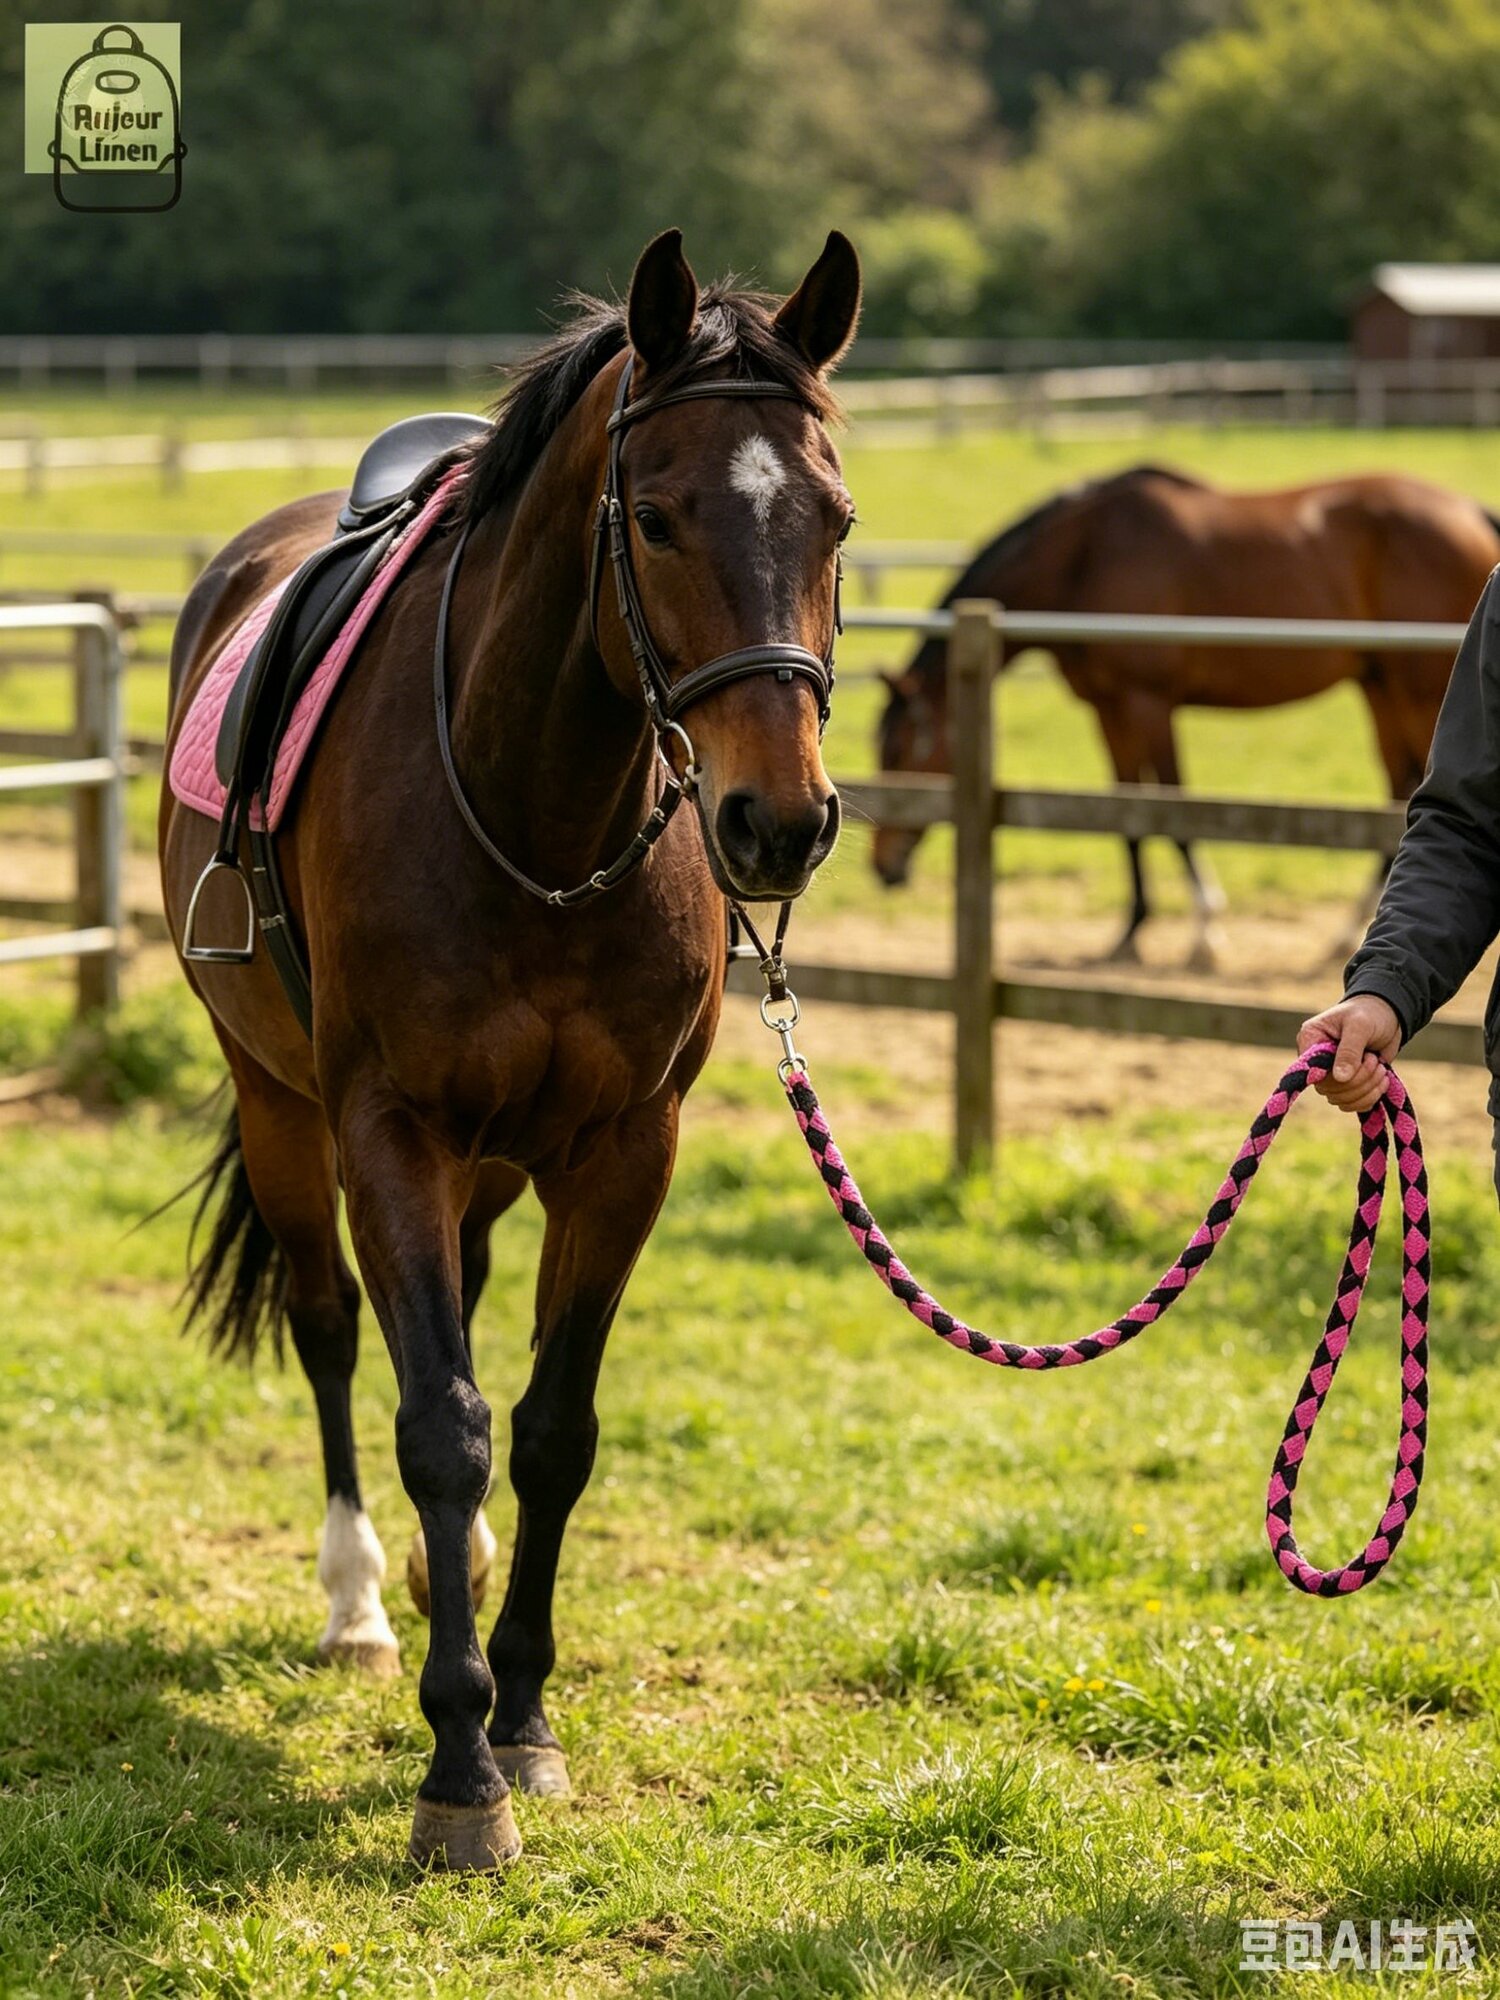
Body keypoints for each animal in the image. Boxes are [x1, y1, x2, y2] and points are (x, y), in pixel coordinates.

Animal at [158, 228, 861, 1871]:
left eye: (839, 518)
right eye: (654, 518)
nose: (780, 823)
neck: (538, 811)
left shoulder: (622, 1152)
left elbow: (548, 1430)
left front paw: (523, 1715)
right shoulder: (388, 1131)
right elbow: (440, 1424)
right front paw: (457, 1767)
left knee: (466, 1318)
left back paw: (446, 1581)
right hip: (283, 1109)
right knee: (331, 1326)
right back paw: (361, 1599)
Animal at [872, 466, 1500, 966]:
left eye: (905, 750)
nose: (883, 867)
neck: (1086, 555)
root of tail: (1471, 511)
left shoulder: (1149, 703)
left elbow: (1172, 808)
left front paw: (1206, 931)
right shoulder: (1109, 709)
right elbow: (1125, 811)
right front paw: (1131, 931)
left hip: (1418, 691)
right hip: (1380, 687)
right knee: (1399, 790)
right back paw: (1346, 933)